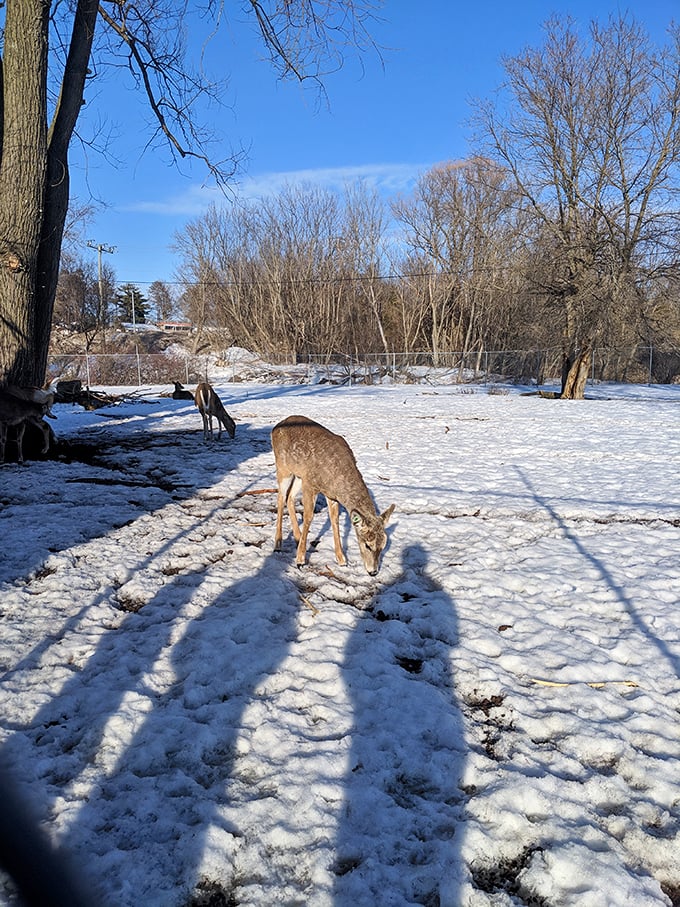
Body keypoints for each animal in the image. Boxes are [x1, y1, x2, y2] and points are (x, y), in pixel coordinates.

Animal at [272, 414, 395, 576]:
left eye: (384, 545)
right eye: (367, 545)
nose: (373, 571)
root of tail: (275, 428)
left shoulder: (330, 494)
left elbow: (334, 520)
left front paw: (342, 560)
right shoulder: (310, 483)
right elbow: (308, 517)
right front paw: (300, 560)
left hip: (298, 474)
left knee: (289, 497)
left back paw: (297, 538)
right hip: (283, 467)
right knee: (281, 497)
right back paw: (278, 544)